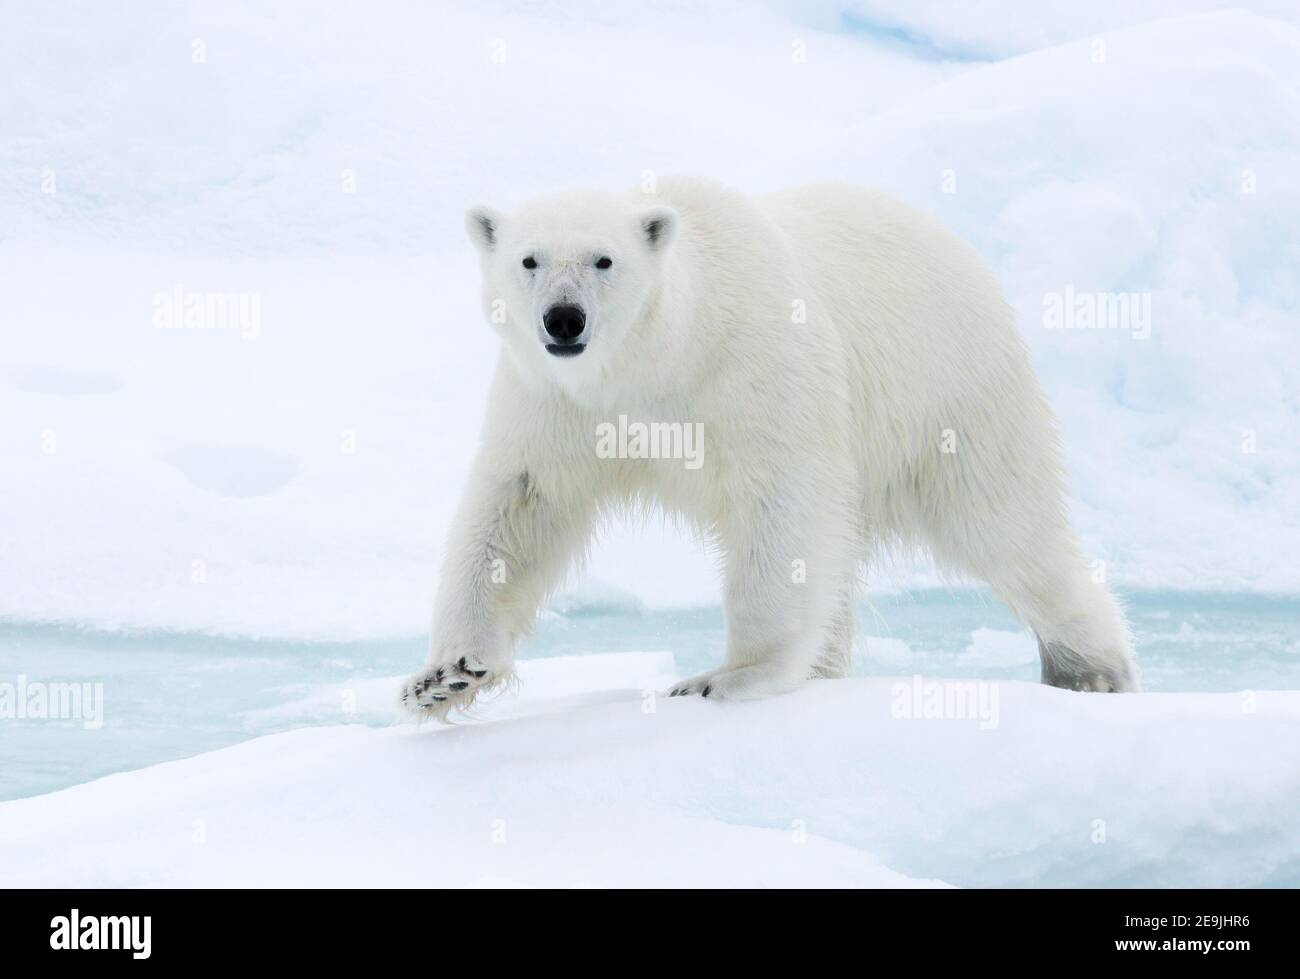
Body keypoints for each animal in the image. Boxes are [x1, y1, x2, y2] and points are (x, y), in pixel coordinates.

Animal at [401, 178, 1140, 719]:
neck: (660, 357)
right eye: (528, 259)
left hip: (948, 394)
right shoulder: (558, 403)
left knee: (1006, 527)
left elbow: (782, 506)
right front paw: (445, 675)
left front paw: (726, 676)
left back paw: (1091, 670)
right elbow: (520, 506)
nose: (563, 319)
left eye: (603, 259)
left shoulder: (753, 372)